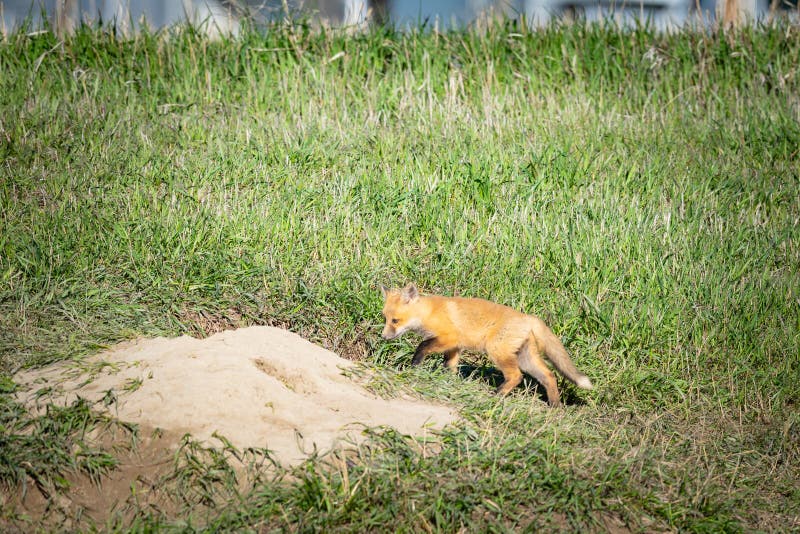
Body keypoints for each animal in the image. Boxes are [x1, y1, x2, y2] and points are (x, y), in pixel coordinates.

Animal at [380, 283, 593, 407]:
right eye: (385, 319)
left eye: (395, 321)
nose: (383, 337)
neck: (428, 313)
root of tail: (529, 317)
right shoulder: (455, 347)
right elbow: (449, 366)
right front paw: (448, 381)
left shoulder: (449, 338)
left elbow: (422, 346)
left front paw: (414, 364)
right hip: (526, 358)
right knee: (549, 376)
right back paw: (554, 406)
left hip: (497, 352)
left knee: (516, 376)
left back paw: (497, 395)